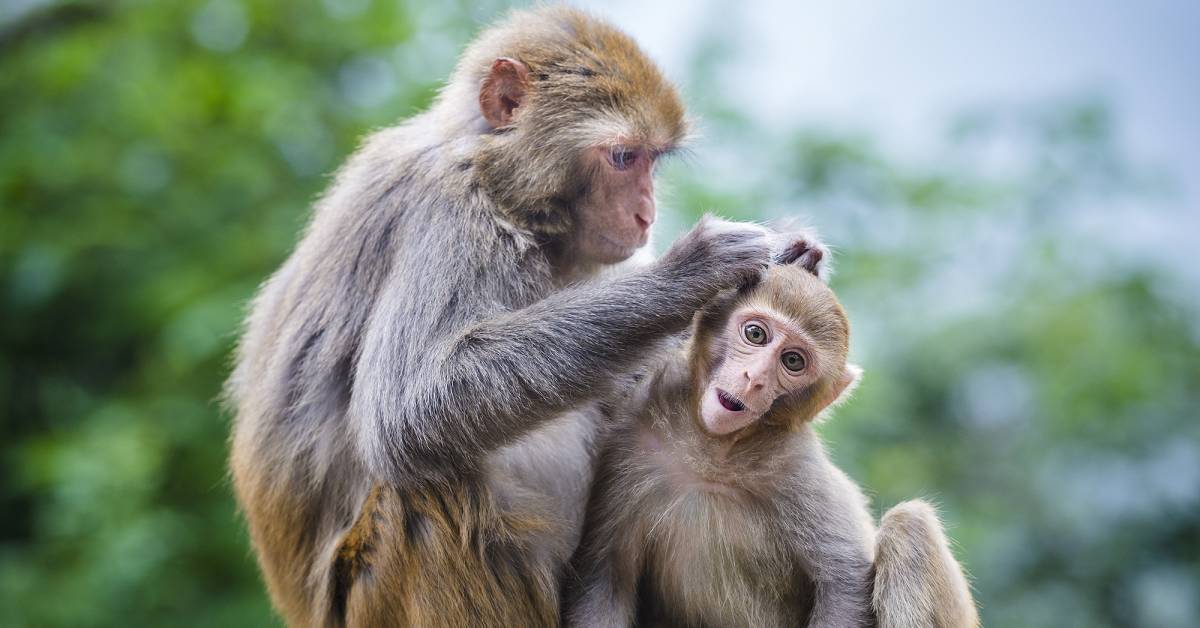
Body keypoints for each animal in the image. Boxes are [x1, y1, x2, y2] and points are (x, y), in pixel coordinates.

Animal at [227, 7, 783, 627]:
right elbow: (405, 405)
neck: (499, 186)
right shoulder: (448, 211)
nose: (647, 214)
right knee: (425, 486)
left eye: (651, 160)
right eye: (623, 158)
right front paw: (688, 276)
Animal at [563, 248, 981, 628]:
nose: (755, 379)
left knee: (908, 524)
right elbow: (606, 582)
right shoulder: (630, 445)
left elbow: (843, 584)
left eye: (792, 361)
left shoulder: (798, 468)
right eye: (755, 334)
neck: (712, 453)